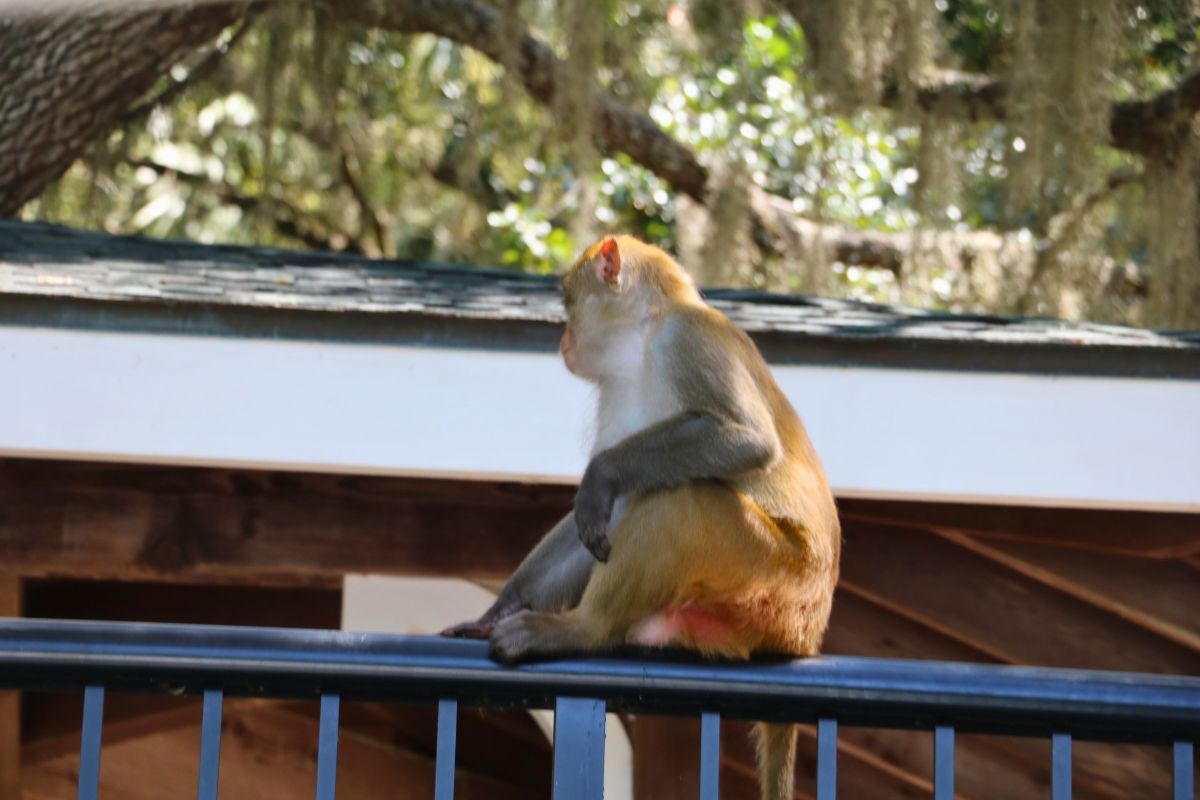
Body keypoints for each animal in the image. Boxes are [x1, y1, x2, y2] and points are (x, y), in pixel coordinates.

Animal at [443, 235, 840, 800]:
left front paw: (602, 475)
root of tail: (805, 637)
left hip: (773, 583)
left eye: (568, 302)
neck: (643, 343)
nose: (562, 340)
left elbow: (746, 439)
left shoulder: (688, 339)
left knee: (683, 498)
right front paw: (494, 612)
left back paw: (582, 629)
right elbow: (601, 518)